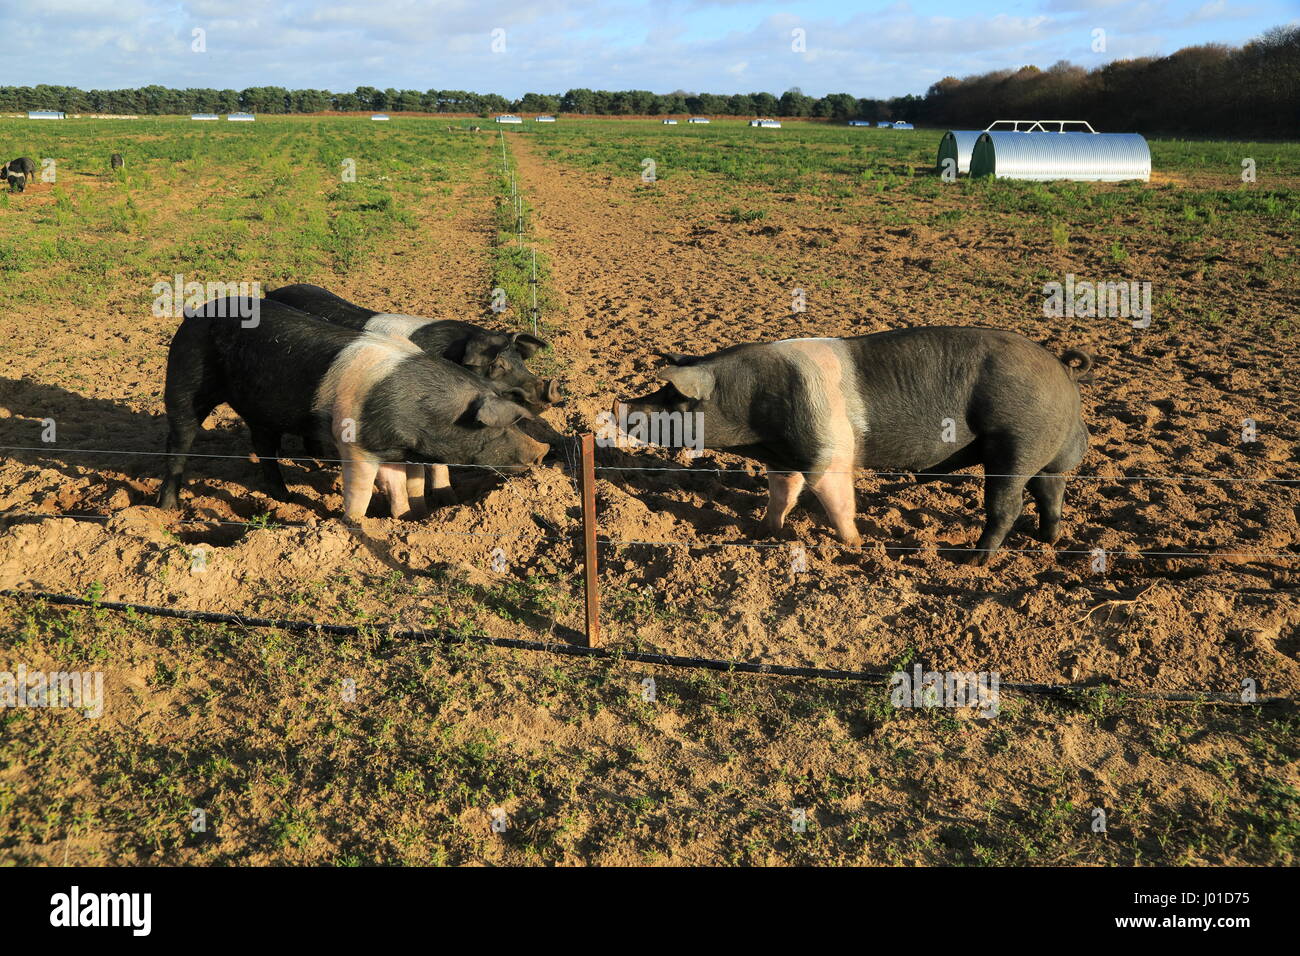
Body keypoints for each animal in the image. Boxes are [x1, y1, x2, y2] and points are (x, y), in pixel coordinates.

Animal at [157, 296, 547, 520]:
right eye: (498, 426)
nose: (542, 451)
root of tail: (198, 311)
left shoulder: (391, 447)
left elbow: (402, 484)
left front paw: (411, 517)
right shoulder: (356, 443)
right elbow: (360, 493)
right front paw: (353, 527)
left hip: (261, 408)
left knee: (265, 445)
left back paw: (286, 496)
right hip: (183, 377)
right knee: (179, 441)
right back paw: (167, 510)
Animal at [616, 327, 1092, 565]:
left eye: (674, 397)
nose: (620, 405)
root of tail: (1062, 368)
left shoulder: (831, 451)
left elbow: (838, 501)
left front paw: (856, 546)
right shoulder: (785, 457)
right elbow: (782, 494)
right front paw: (766, 532)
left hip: (1016, 441)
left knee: (1008, 504)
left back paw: (973, 563)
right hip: (1043, 452)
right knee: (1051, 489)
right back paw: (1047, 540)